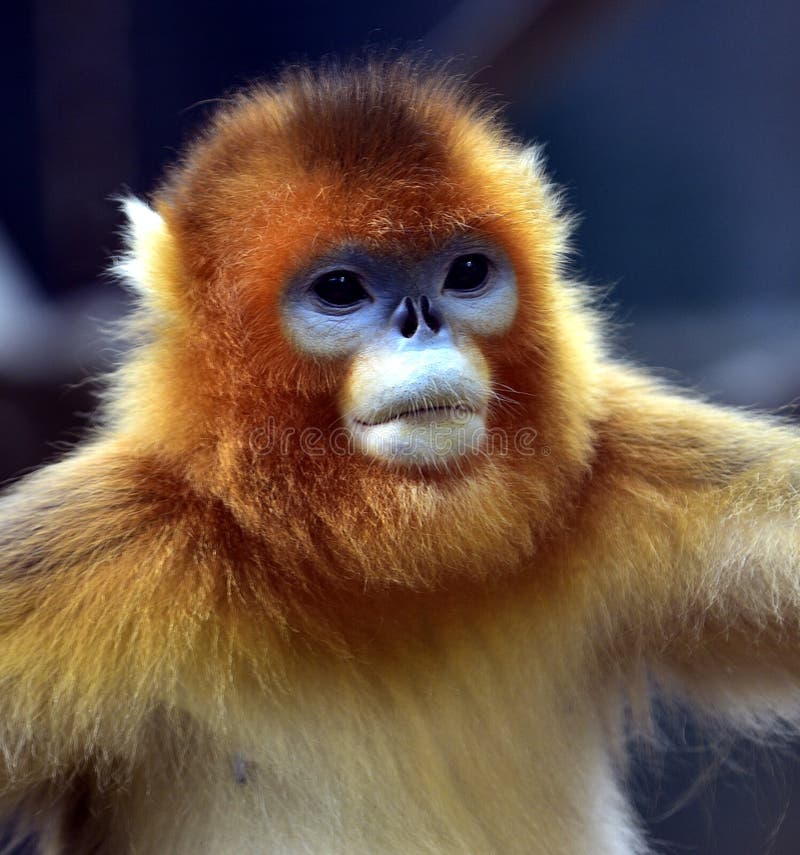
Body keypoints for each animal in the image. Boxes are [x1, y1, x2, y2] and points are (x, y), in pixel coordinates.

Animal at [0, 56, 798, 855]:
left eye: (466, 273)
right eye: (340, 289)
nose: (425, 324)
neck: (387, 571)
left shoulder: (609, 462)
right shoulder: (112, 543)